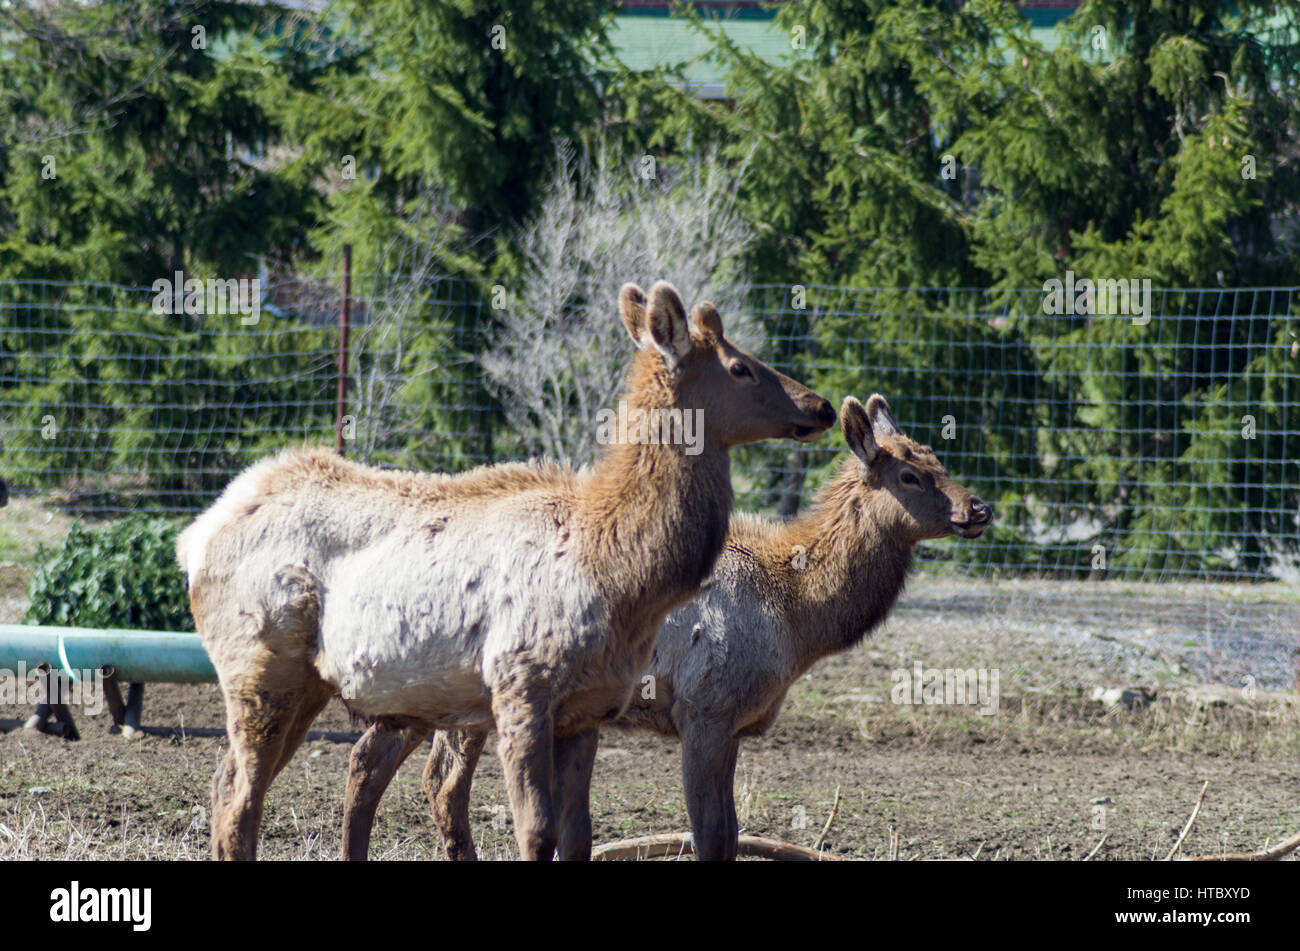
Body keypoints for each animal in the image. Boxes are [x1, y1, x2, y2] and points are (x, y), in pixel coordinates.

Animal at [176, 281, 835, 861]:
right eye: (740, 367)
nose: (822, 405)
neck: (623, 579)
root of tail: (195, 535)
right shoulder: (521, 686)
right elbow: (536, 834)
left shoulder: (589, 709)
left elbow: (577, 838)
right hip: (258, 668)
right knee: (240, 798)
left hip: (309, 682)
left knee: (226, 782)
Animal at [357, 393, 990, 860]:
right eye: (909, 474)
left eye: (940, 460)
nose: (979, 509)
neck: (797, 619)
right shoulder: (704, 711)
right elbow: (709, 836)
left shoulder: (734, 726)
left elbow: (730, 833)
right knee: (410, 773)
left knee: (409, 772)